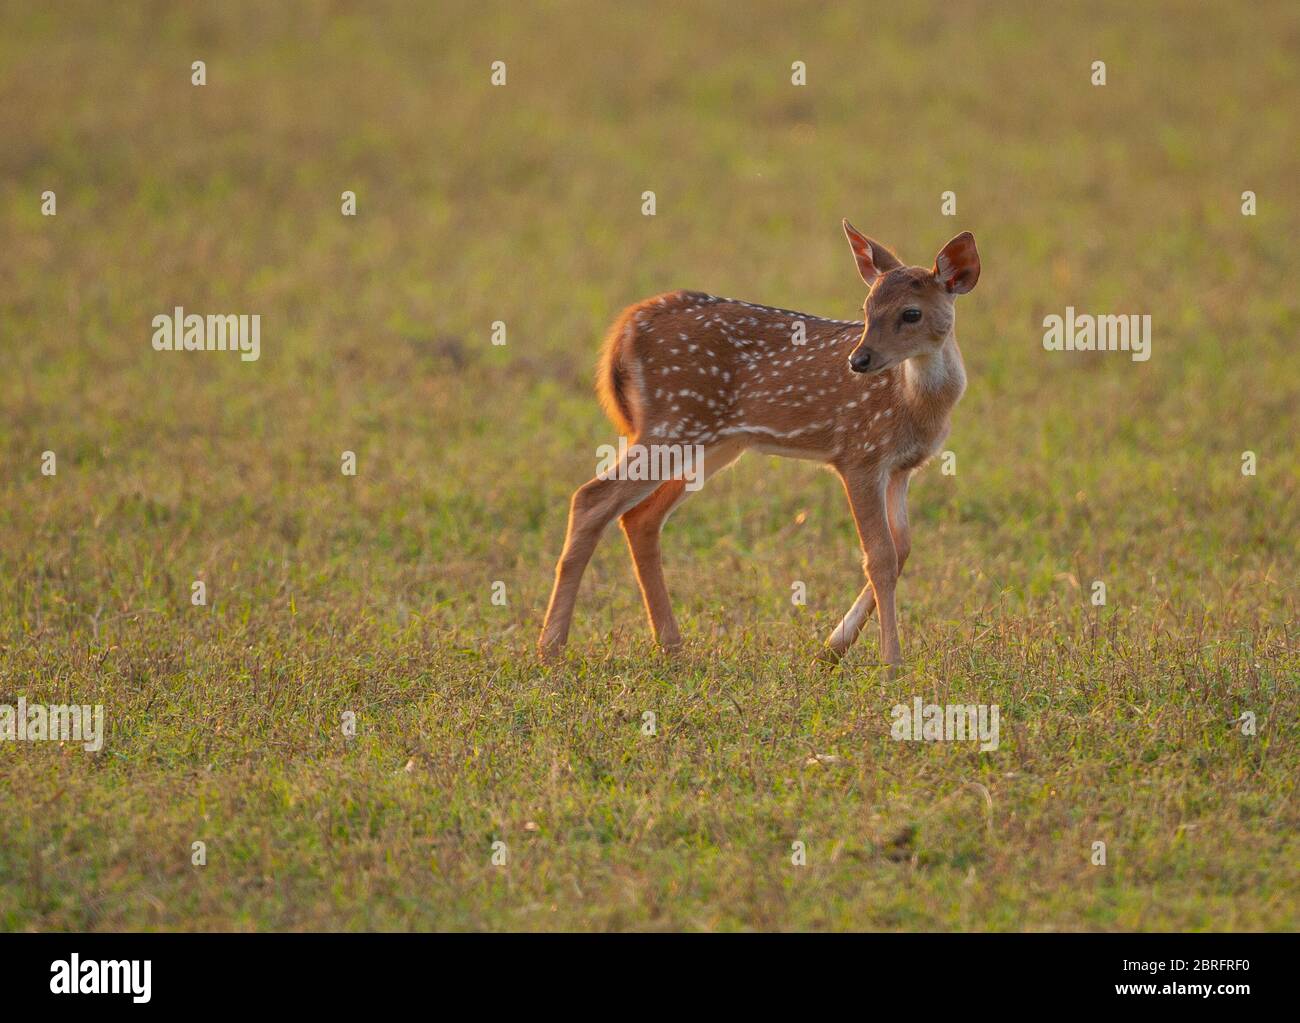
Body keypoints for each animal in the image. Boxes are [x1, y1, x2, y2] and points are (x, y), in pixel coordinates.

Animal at [538, 222, 980, 672]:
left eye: (911, 313)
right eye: (866, 308)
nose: (859, 360)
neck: (914, 404)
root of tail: (626, 327)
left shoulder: (900, 469)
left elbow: (903, 547)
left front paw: (832, 647)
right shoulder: (859, 454)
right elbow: (880, 557)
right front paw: (891, 664)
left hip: (712, 442)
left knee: (640, 517)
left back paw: (671, 645)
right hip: (673, 420)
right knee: (591, 498)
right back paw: (551, 647)